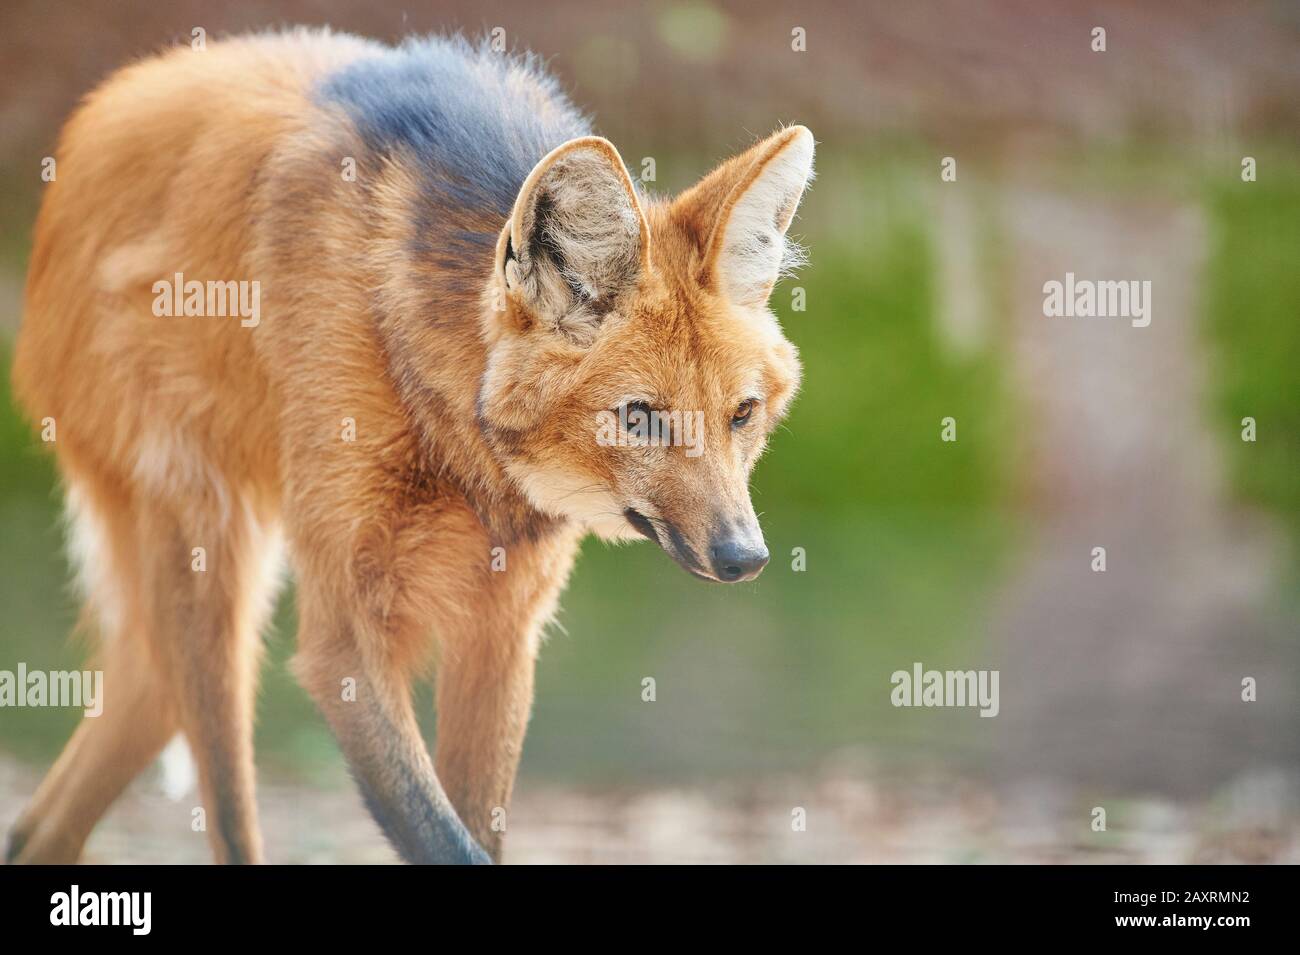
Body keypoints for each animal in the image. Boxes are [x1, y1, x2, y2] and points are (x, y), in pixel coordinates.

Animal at [6, 29, 812, 864]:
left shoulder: (500, 631)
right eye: (640, 417)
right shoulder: (345, 642)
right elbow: (444, 837)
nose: (744, 556)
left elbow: (479, 828)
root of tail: (97, 117)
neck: (450, 427)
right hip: (214, 580)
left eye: (742, 413)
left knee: (57, 802)